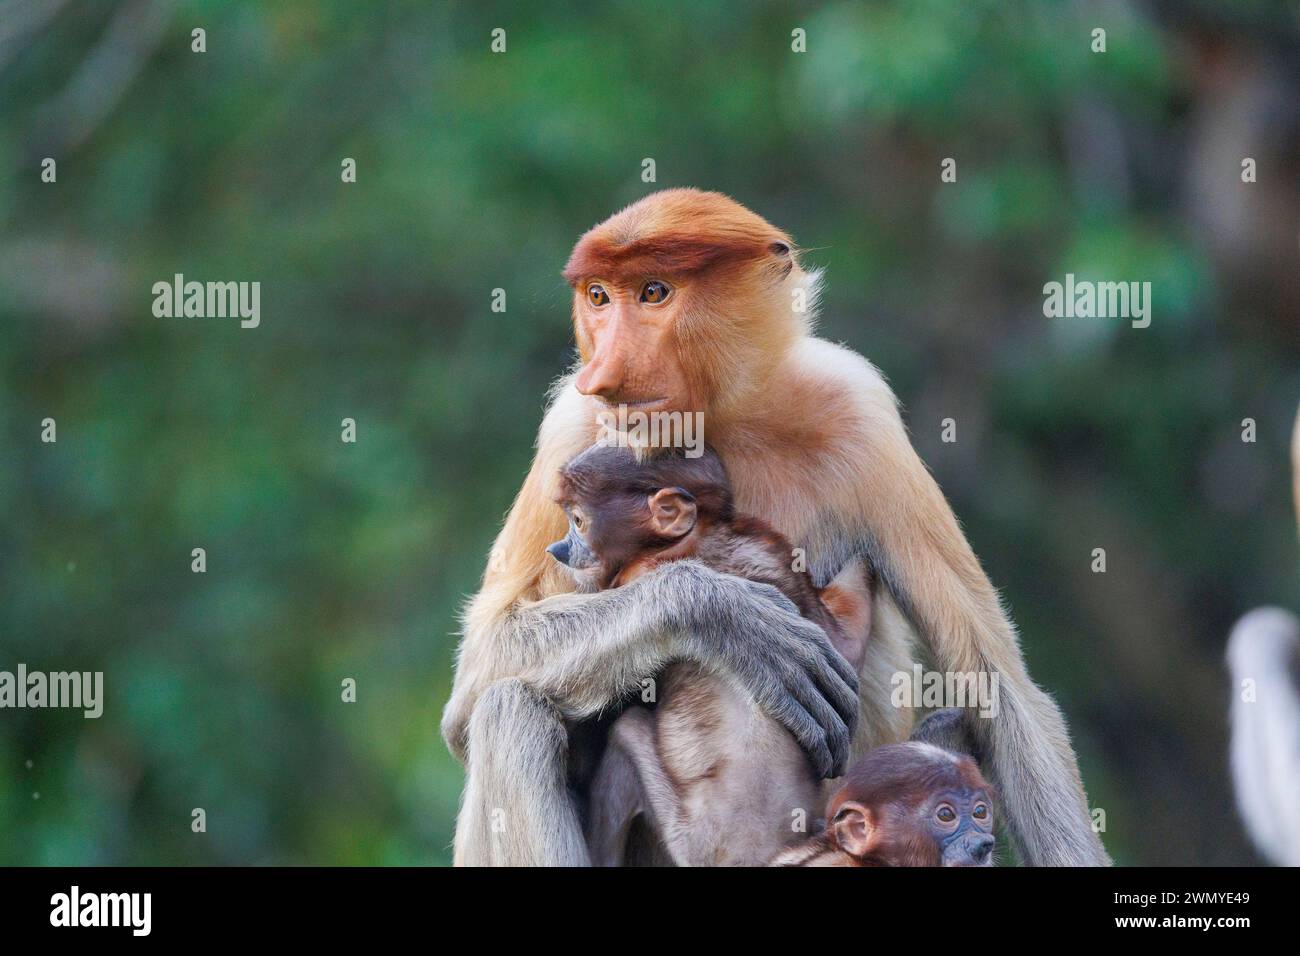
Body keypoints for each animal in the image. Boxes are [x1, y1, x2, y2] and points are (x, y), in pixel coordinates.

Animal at [545, 442, 872, 865]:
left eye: (579, 521)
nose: (559, 548)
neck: (702, 534)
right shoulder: (771, 546)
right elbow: (843, 635)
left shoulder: (638, 570)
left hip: (693, 839)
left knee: (624, 732)